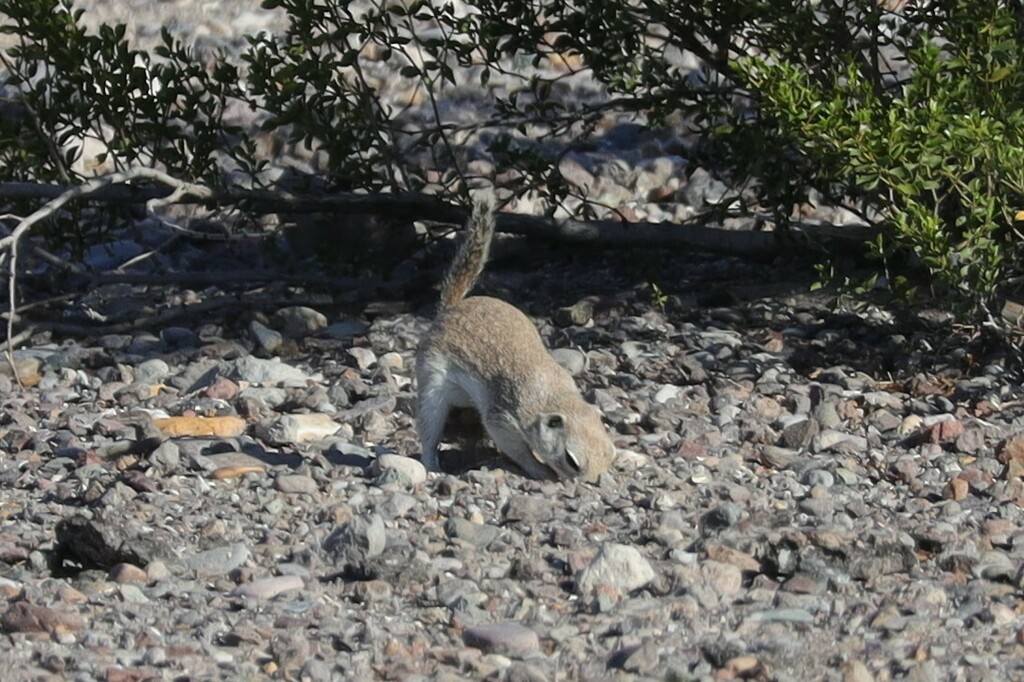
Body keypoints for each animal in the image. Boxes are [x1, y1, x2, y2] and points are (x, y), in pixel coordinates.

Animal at [416, 190, 617, 482]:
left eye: (611, 454)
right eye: (572, 460)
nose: (592, 483)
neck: (553, 395)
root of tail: (452, 306)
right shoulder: (505, 420)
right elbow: (515, 449)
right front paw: (541, 470)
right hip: (432, 383)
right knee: (430, 428)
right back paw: (432, 466)